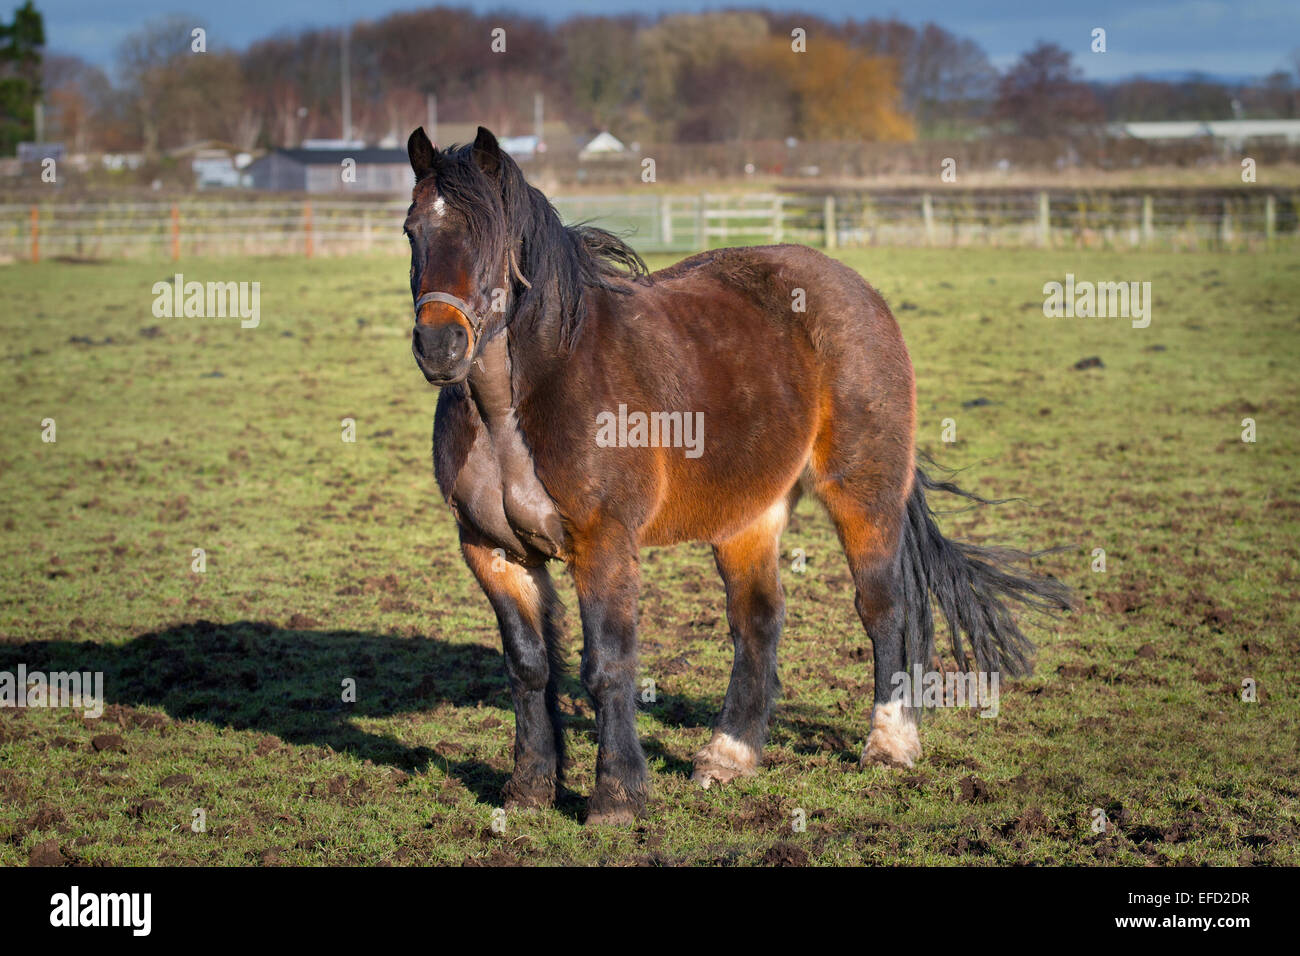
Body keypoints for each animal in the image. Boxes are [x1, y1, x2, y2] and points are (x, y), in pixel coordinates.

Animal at [403, 126, 1071, 824]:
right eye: (412, 230)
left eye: (489, 237)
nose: (440, 346)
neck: (525, 402)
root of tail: (857, 289)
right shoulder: (491, 550)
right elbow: (529, 666)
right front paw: (530, 790)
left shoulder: (604, 544)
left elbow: (608, 665)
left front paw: (617, 797)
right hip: (747, 516)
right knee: (759, 621)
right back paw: (730, 754)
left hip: (864, 492)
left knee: (884, 607)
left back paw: (889, 744)